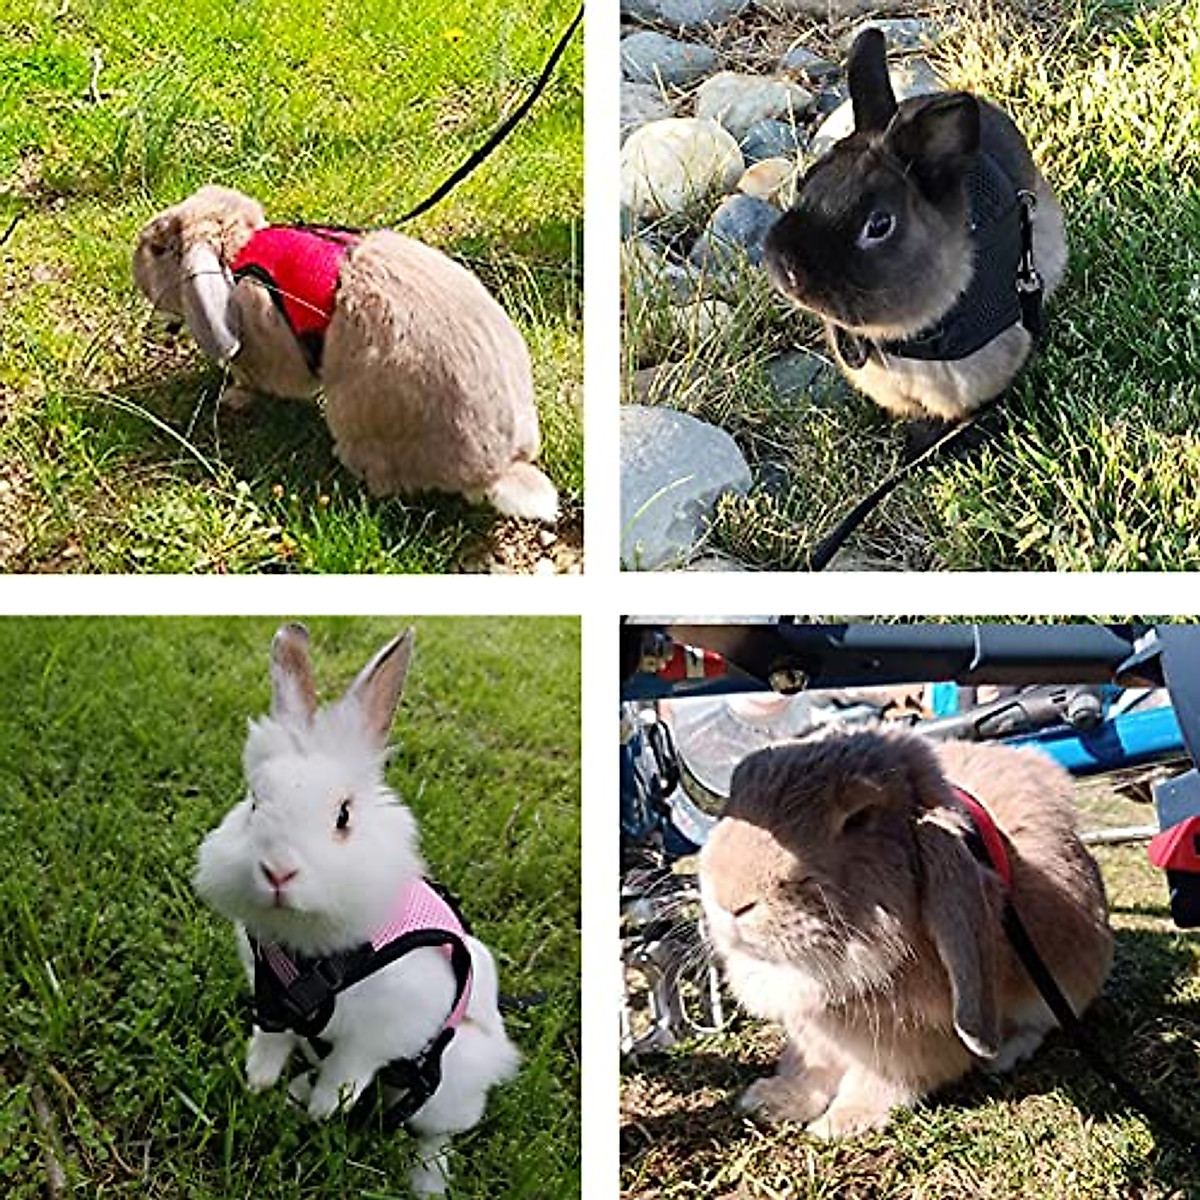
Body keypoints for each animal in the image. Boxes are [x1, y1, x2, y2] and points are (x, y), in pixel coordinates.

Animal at [193, 624, 521, 1195]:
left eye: (343, 816)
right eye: (254, 802)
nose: (278, 872)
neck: (311, 948)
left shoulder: (392, 1022)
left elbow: (352, 1064)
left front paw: (327, 1109)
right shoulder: (271, 1000)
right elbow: (272, 1039)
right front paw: (259, 1081)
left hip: (446, 1085)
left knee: (433, 1135)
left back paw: (426, 1181)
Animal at [699, 727, 1112, 1139]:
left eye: (858, 818)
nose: (729, 900)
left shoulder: (906, 1047)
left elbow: (879, 1082)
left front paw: (840, 1122)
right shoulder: (810, 1038)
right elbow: (807, 1071)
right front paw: (768, 1100)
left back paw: (1004, 1054)